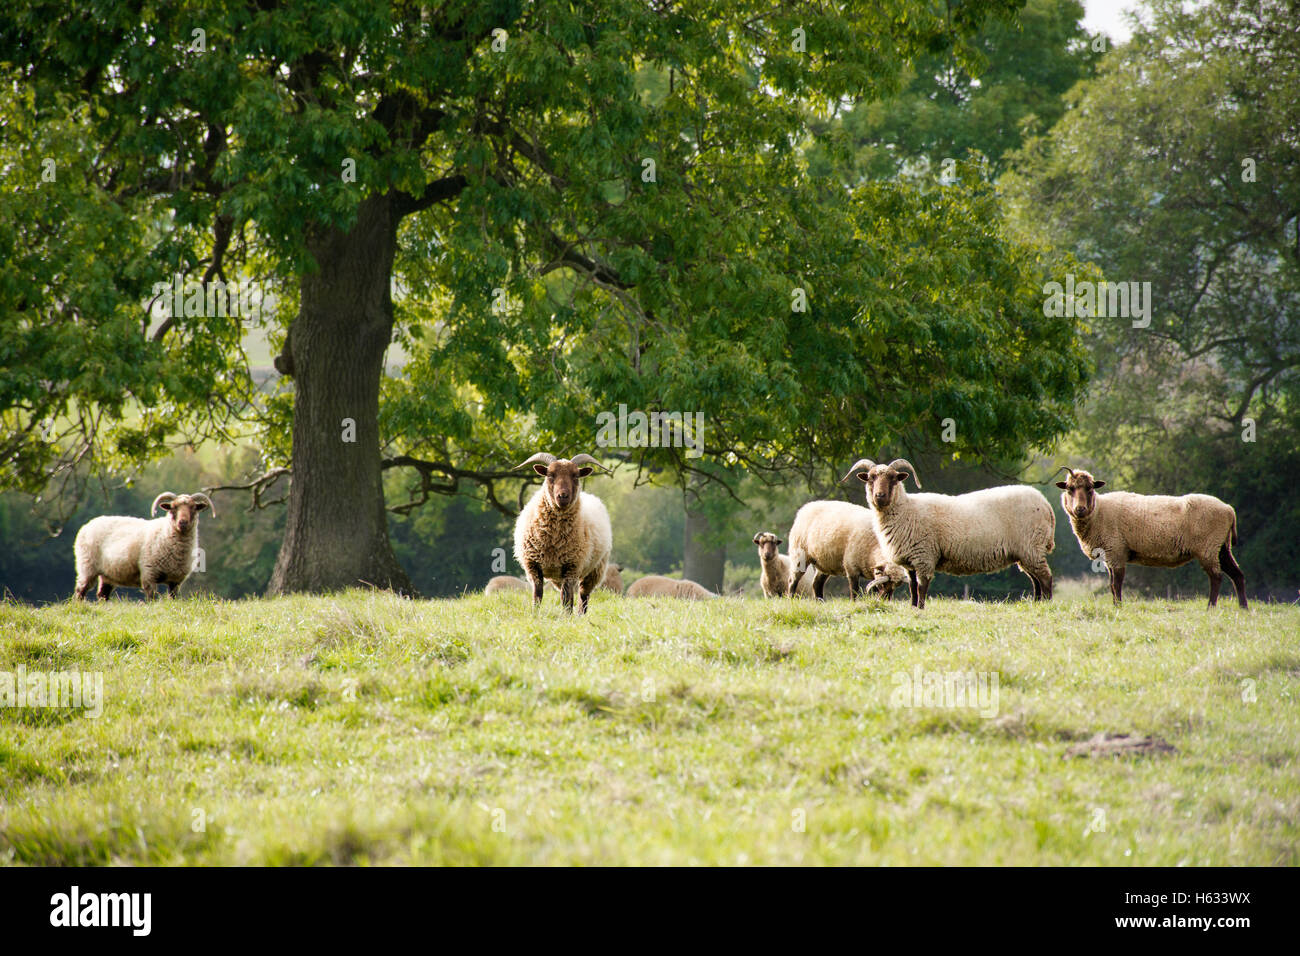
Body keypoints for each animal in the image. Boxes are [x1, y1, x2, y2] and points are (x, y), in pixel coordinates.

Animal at [73, 492, 214, 601]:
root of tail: (87, 525)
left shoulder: (176, 581)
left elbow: (173, 598)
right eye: (173, 507)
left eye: (193, 507)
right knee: (80, 590)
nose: (183, 522)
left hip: (108, 574)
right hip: (87, 567)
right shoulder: (149, 574)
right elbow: (151, 598)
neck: (165, 533)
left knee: (102, 594)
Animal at [513, 452, 613, 614]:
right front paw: (535, 614)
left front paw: (567, 617)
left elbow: (567, 599)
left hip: (596, 569)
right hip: (558, 576)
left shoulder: (572, 566)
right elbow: (538, 595)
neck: (553, 540)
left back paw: (580, 615)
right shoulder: (533, 566)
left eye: (576, 476)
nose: (563, 496)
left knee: (583, 595)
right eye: (550, 475)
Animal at [841, 458, 1055, 609]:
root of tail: (1045, 503)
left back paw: (1046, 605)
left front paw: (921, 609)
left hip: (1031, 546)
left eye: (893, 478)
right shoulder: (910, 561)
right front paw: (912, 608)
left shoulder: (924, 556)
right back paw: (1036, 604)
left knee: (1045, 577)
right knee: (1035, 579)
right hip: (1025, 552)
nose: (880, 496)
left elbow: (922, 586)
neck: (906, 510)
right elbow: (912, 588)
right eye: (871, 478)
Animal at [1053, 466, 1247, 608]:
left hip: (1208, 547)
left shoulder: (1116, 551)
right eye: (1070, 489)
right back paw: (1243, 607)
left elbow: (1116, 584)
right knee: (1237, 575)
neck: (1098, 513)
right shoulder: (1109, 555)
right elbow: (1111, 585)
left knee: (1216, 577)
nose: (1080, 509)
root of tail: (1229, 509)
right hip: (1221, 547)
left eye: (1090, 488)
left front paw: (1119, 607)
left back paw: (1210, 607)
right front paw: (1115, 606)